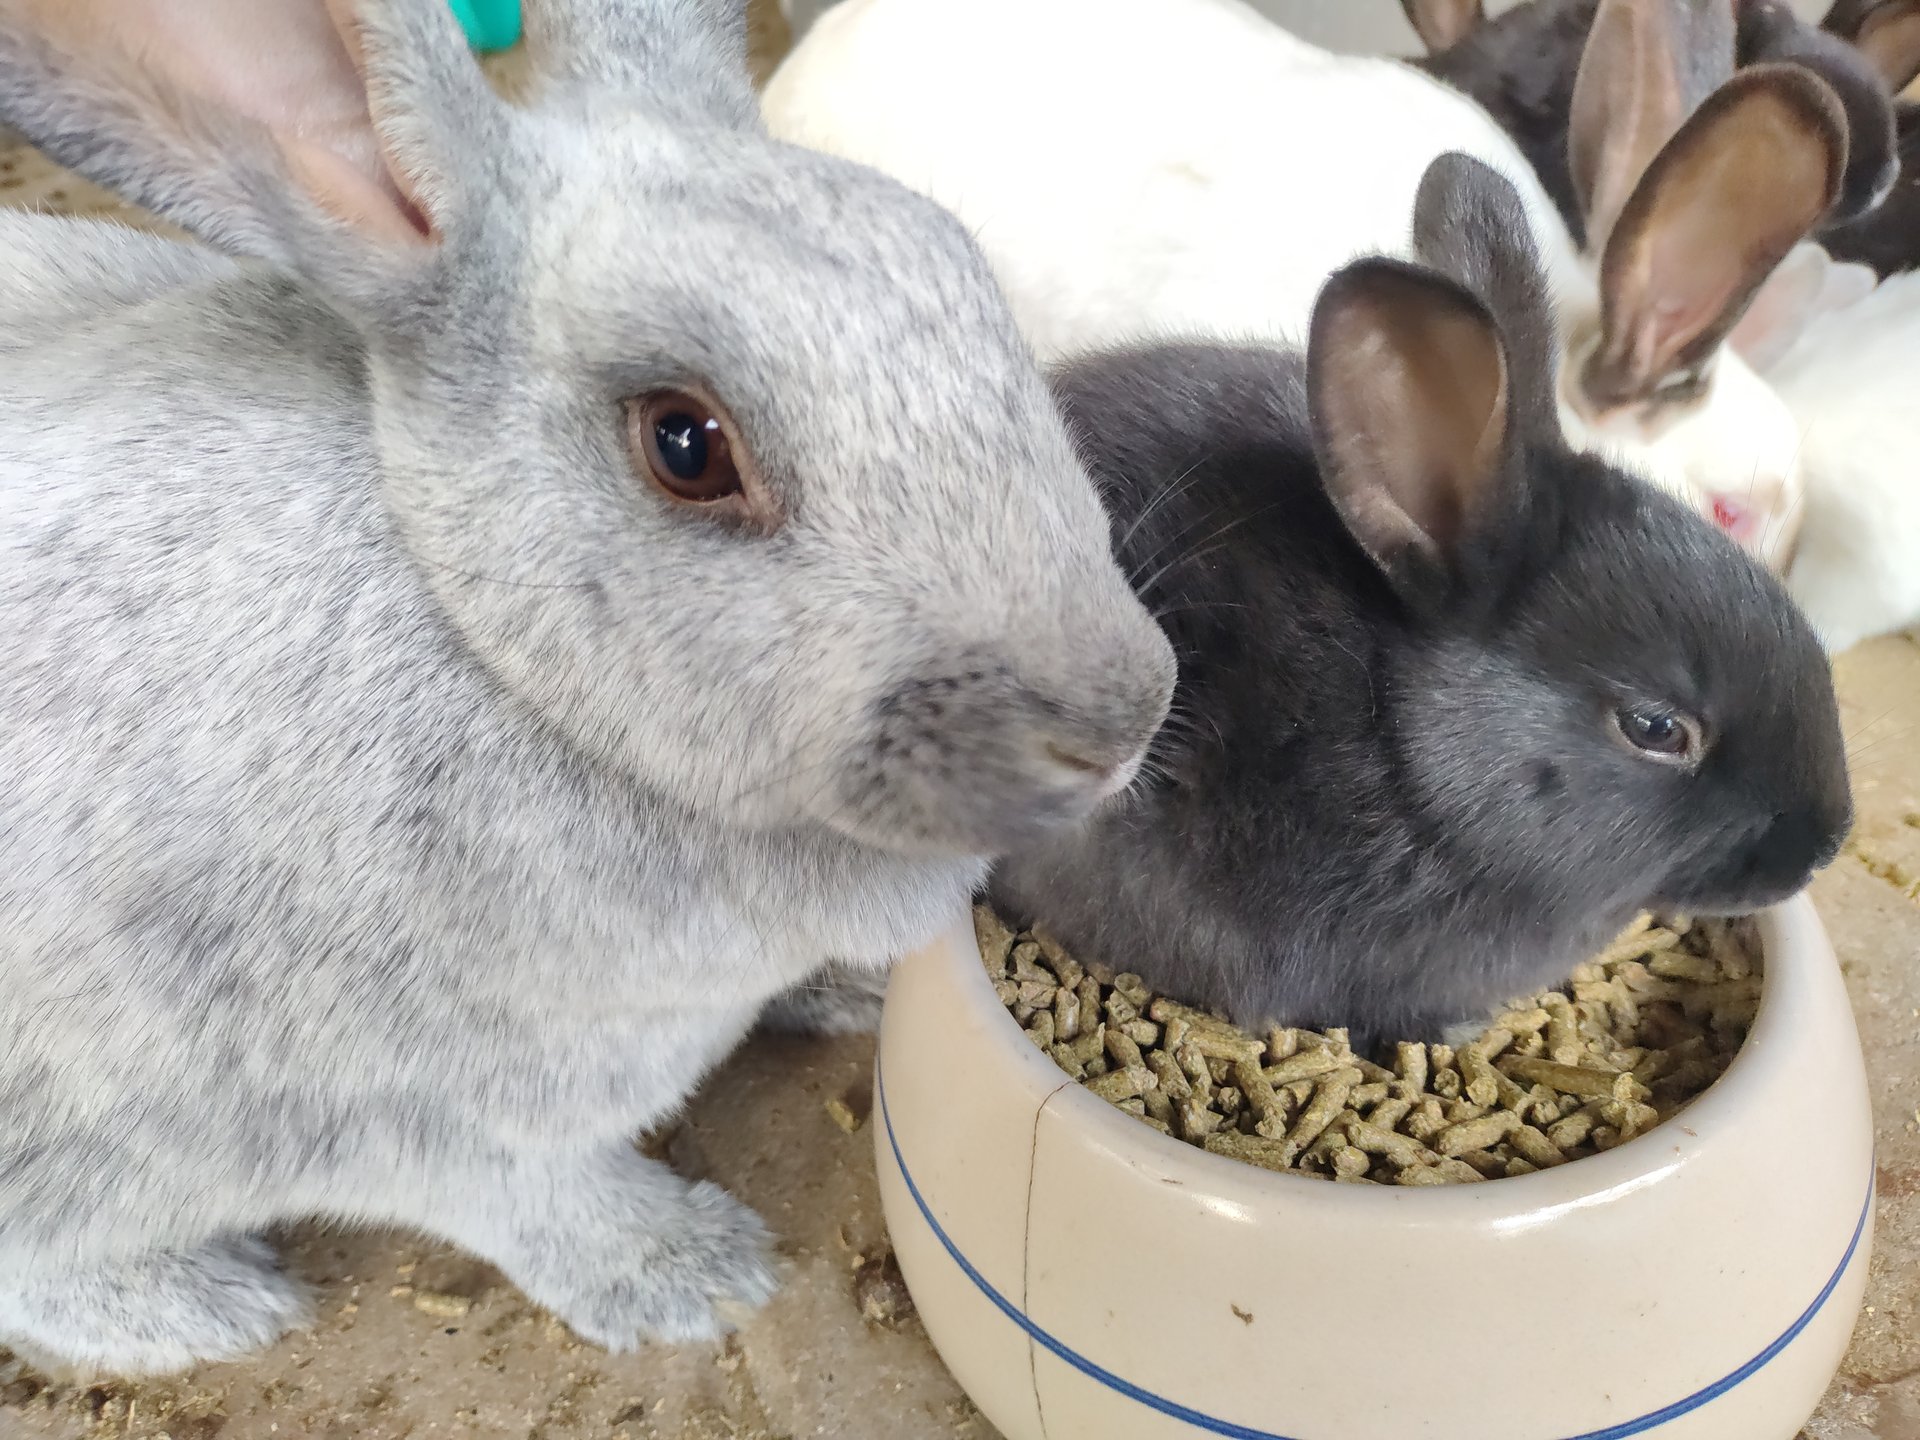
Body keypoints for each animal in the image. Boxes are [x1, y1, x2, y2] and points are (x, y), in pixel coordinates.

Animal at [0, 0, 1174, 1378]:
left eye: (975, 286)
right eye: (686, 444)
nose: (1122, 722)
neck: (493, 656)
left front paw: (847, 995)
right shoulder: (402, 1117)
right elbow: (537, 1202)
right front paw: (699, 1275)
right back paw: (203, 1305)